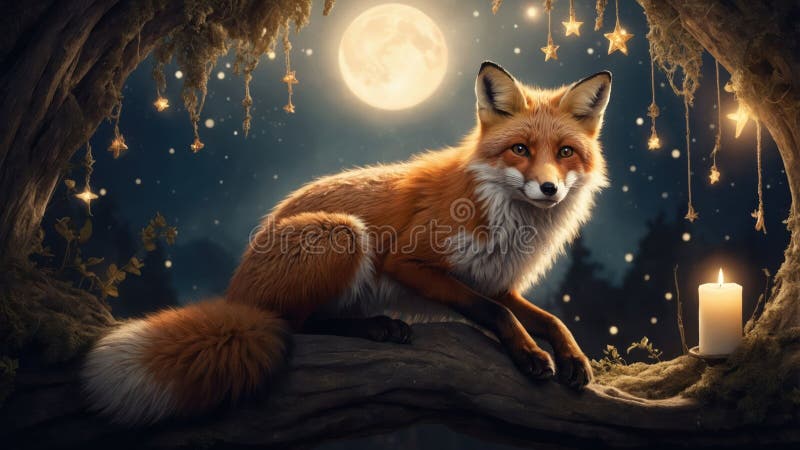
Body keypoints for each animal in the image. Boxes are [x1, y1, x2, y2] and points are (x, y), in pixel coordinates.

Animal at [83, 62, 611, 425]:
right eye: (520, 149)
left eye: (565, 152)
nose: (549, 189)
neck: (502, 215)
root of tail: (237, 290)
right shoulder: (410, 262)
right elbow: (495, 314)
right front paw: (531, 356)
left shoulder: (493, 279)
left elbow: (550, 319)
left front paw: (573, 358)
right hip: (343, 234)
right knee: (297, 327)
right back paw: (378, 327)